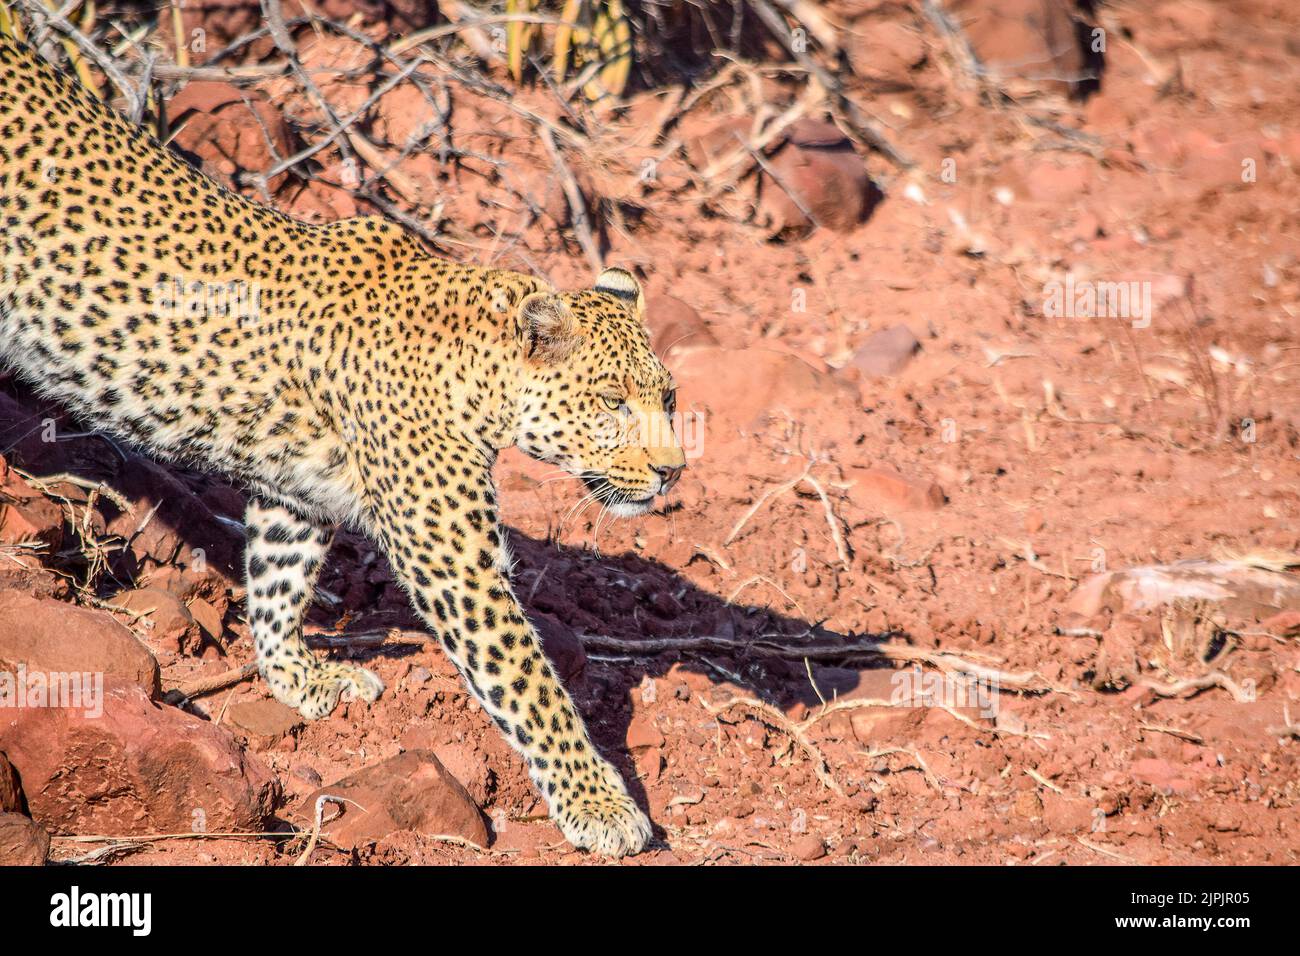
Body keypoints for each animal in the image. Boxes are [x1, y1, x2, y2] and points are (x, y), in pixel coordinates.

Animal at [0, 31, 687, 857]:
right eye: (612, 402)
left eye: (668, 398)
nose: (673, 471)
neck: (477, 374)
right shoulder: (455, 564)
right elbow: (531, 686)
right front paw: (599, 803)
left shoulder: (296, 493)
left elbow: (278, 581)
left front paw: (299, 676)